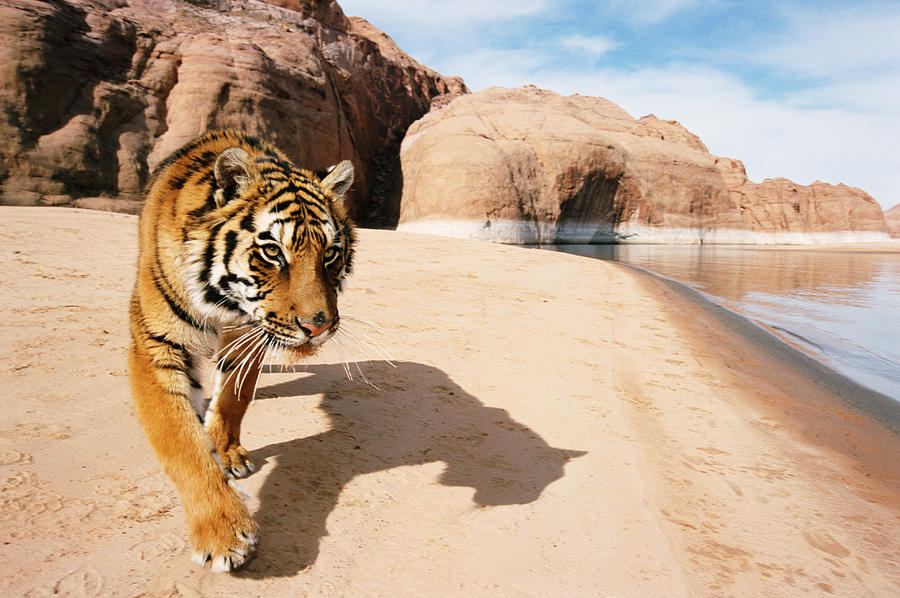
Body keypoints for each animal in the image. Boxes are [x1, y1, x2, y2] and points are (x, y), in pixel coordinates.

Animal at [128, 130, 356, 573]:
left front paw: (227, 451)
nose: (318, 326)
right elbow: (179, 438)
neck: (225, 302)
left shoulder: (252, 336)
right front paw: (222, 533)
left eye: (330, 254)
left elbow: (235, 397)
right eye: (273, 252)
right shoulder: (156, 341)